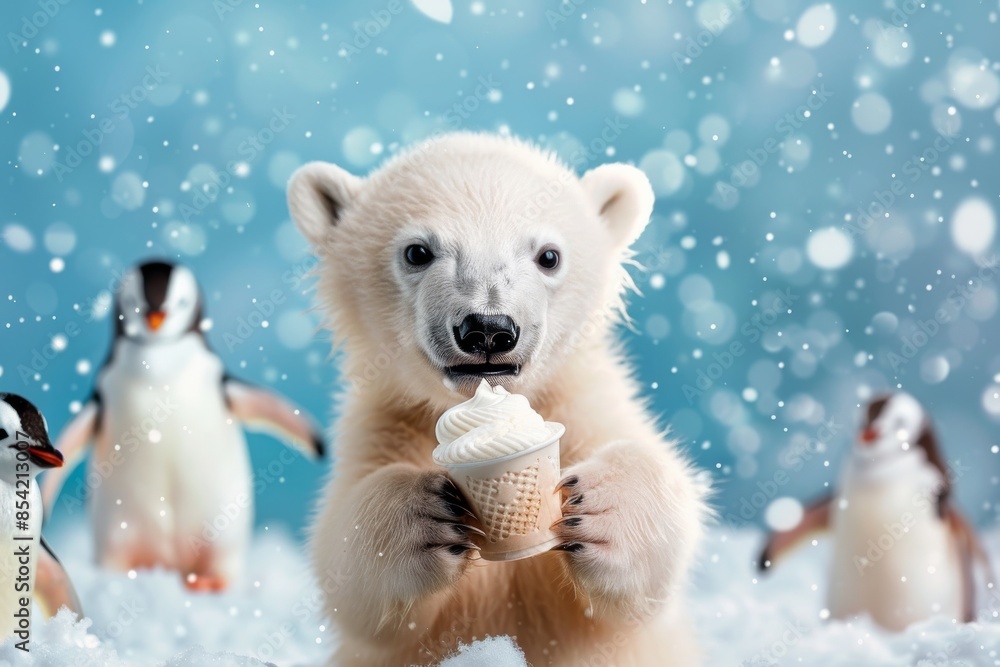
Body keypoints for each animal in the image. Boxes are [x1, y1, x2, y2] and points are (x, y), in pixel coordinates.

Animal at [287, 132, 707, 667]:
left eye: (549, 255)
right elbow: (344, 570)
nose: (487, 328)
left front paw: (604, 507)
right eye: (417, 252)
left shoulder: (577, 401)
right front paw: (418, 517)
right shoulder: (389, 419)